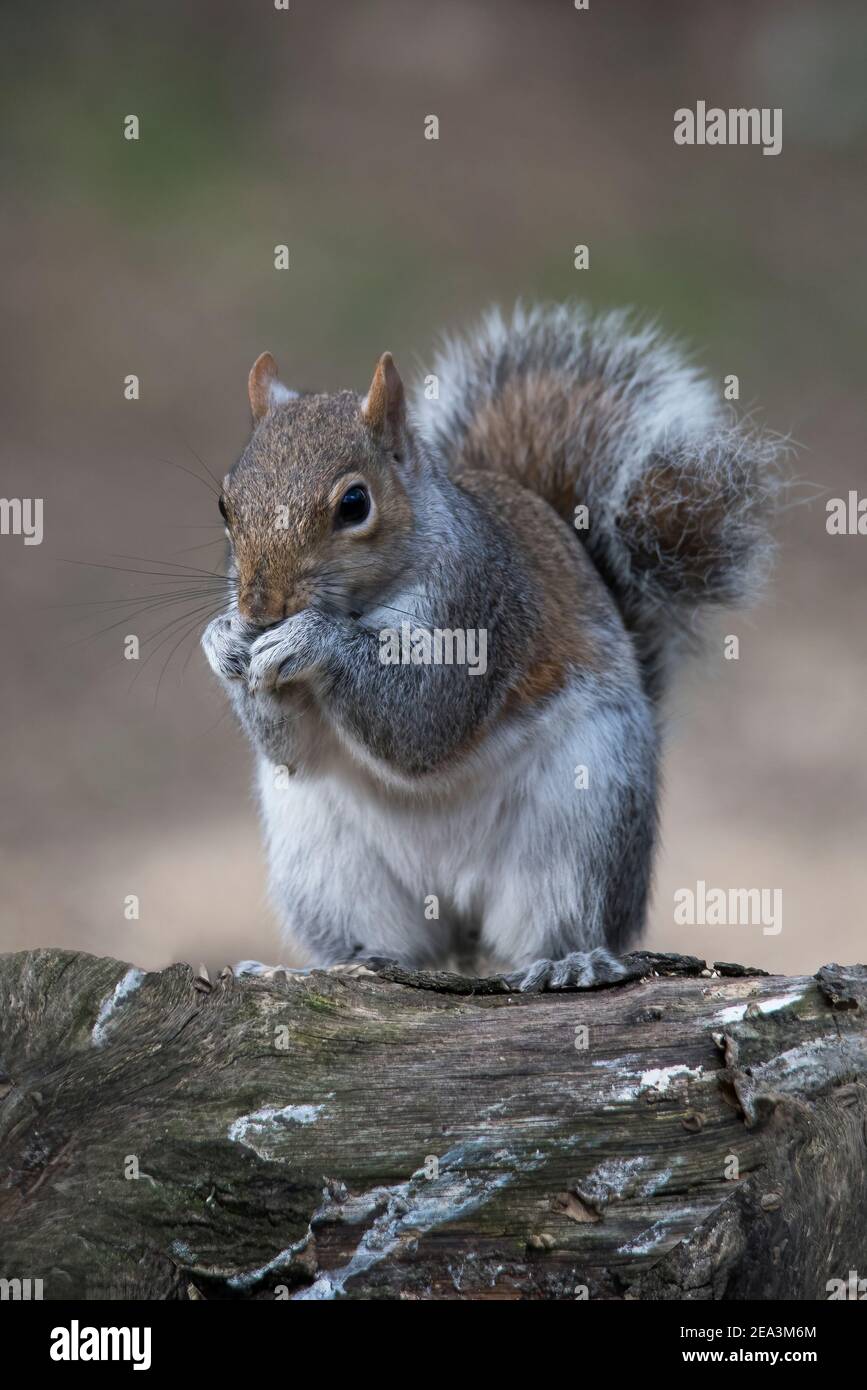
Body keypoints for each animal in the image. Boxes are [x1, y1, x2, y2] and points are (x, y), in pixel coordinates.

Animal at [201, 303, 780, 990]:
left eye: (354, 503)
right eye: (225, 504)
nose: (260, 609)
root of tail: (458, 916)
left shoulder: (477, 605)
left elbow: (424, 718)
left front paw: (311, 639)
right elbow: (293, 750)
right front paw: (223, 643)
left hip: (585, 816)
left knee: (561, 920)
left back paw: (571, 961)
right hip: (322, 861)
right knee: (386, 942)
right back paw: (332, 965)